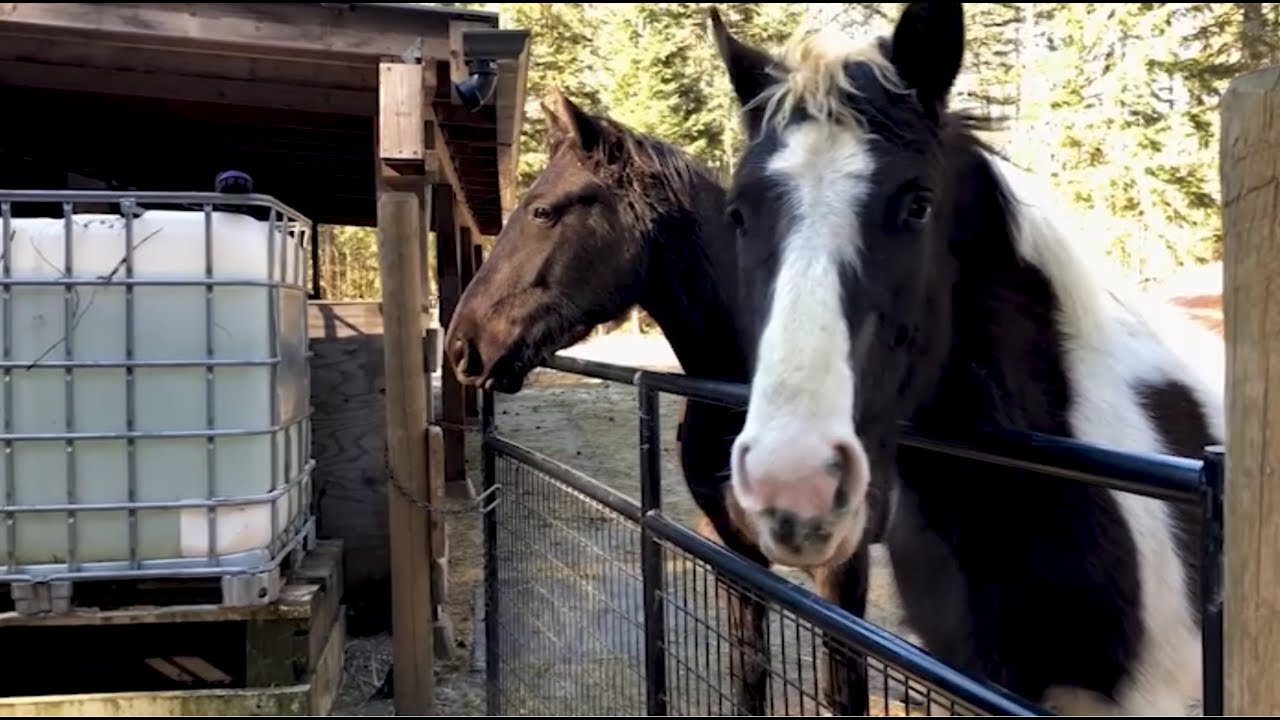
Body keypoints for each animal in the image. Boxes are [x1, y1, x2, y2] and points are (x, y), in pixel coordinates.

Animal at [442, 88, 879, 715]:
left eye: (543, 211)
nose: (461, 346)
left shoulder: (841, 567)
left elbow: (843, 694)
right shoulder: (734, 554)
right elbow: (747, 676)